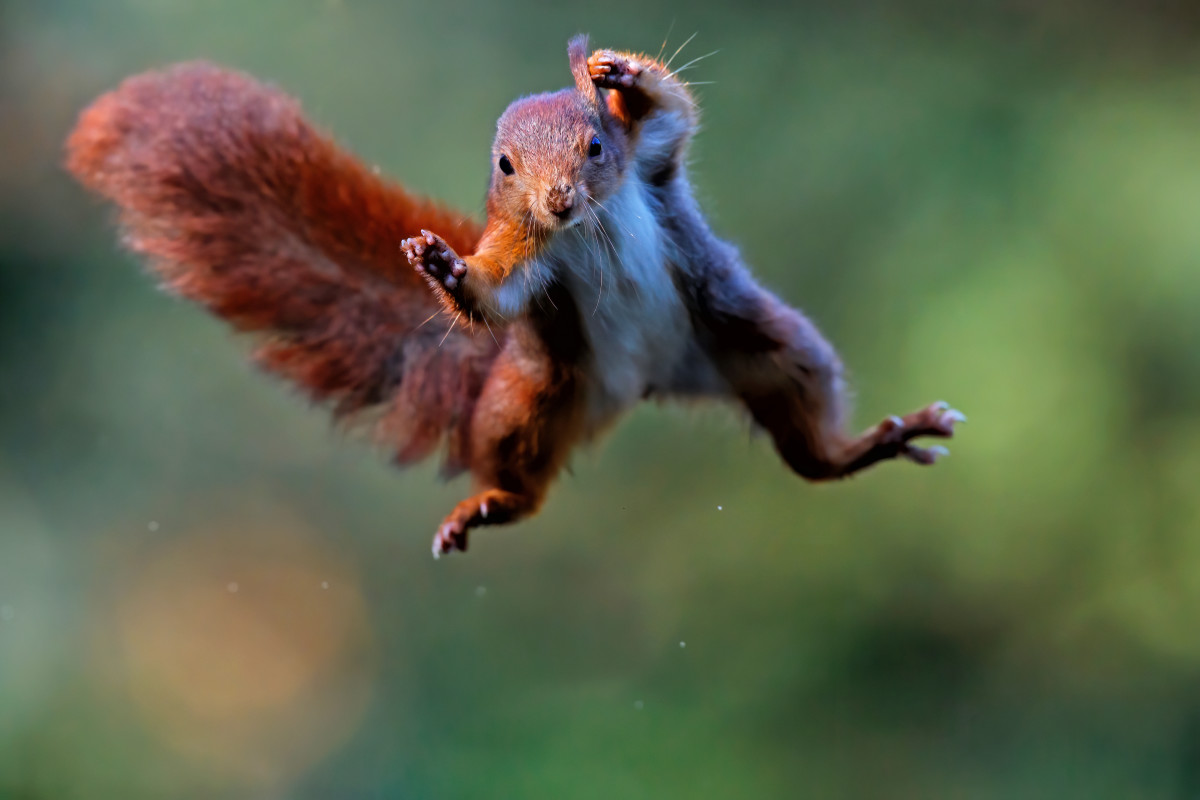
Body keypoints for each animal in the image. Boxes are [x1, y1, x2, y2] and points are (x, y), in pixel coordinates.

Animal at [65, 35, 964, 557]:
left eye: (594, 144)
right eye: (504, 166)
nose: (558, 200)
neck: (587, 226)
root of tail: (650, 381)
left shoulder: (653, 161)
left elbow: (674, 111)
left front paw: (619, 71)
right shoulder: (526, 256)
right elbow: (493, 295)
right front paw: (444, 269)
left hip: (757, 342)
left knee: (809, 447)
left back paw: (874, 443)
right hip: (533, 397)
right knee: (526, 480)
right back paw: (493, 505)